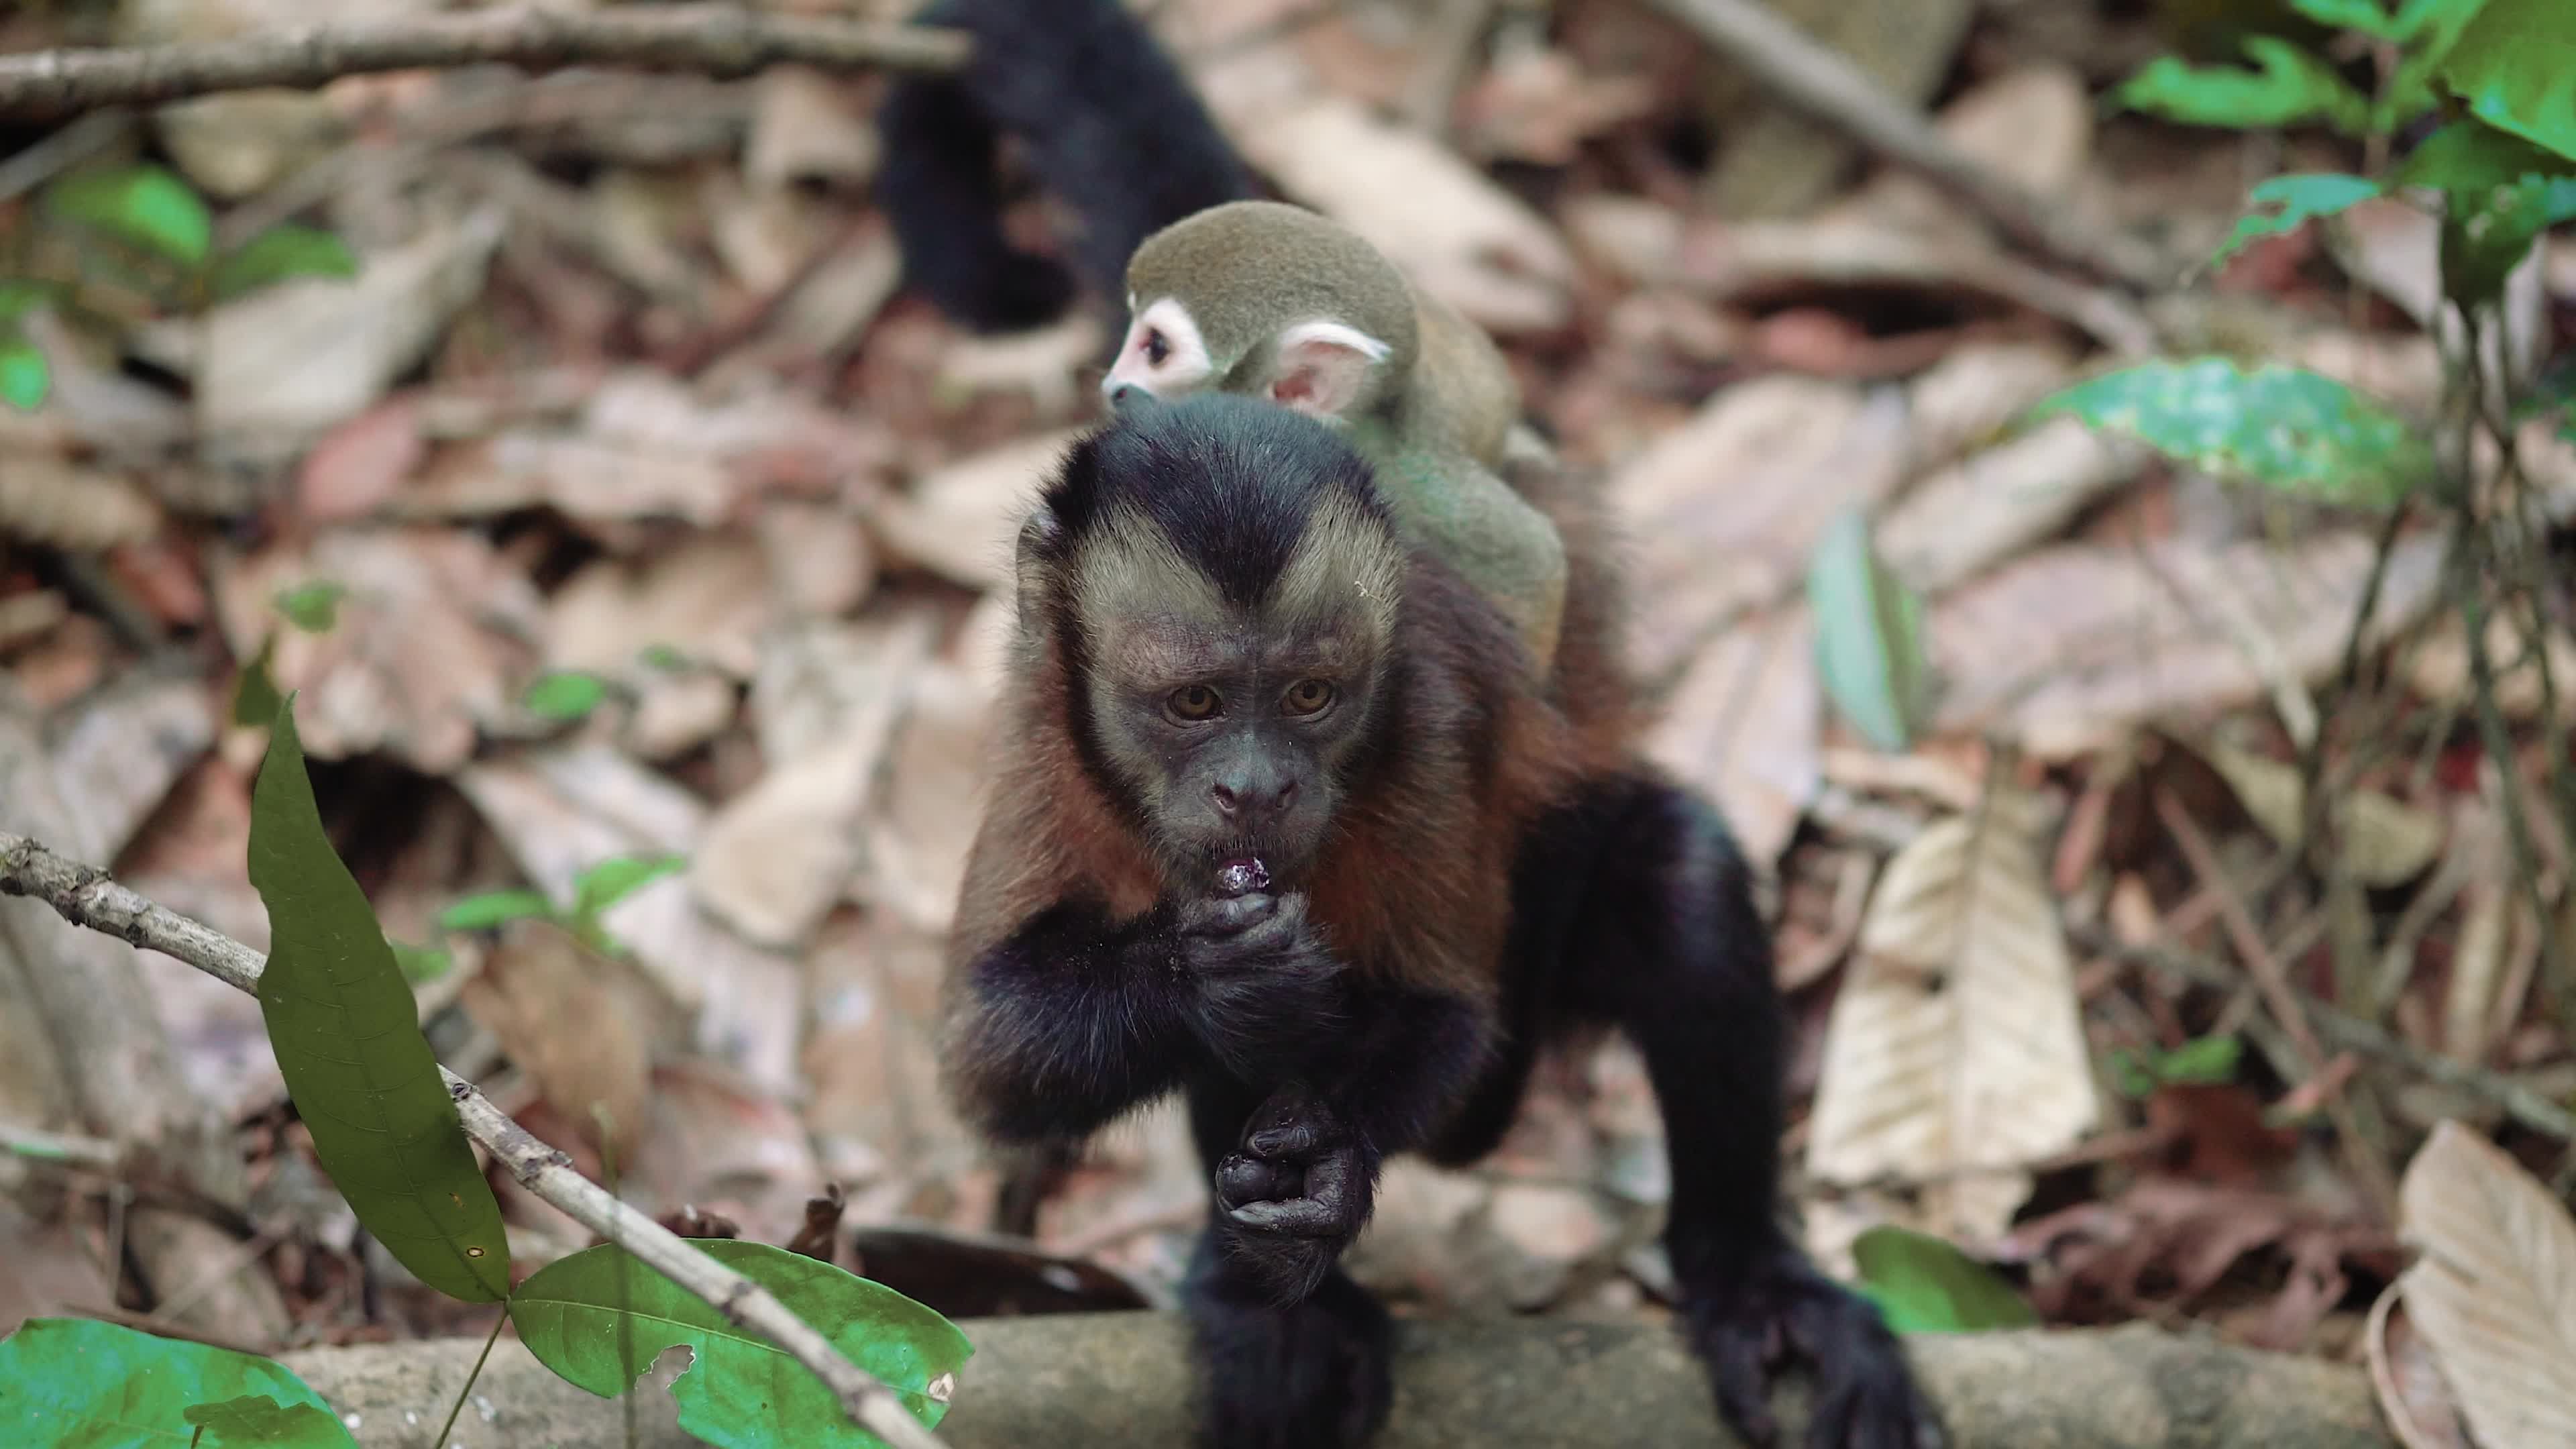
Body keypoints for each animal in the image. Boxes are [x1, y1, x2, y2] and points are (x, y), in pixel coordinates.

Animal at [938, 390, 1938, 1449]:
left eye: (1310, 695)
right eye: (1195, 702)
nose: (1255, 788)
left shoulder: (1430, 709)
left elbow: (1454, 1021)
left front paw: (1329, 1168)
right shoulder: (1042, 728)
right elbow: (989, 1059)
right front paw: (1208, 978)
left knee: (1679, 882)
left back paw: (1750, 1281)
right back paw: (1260, 1300)